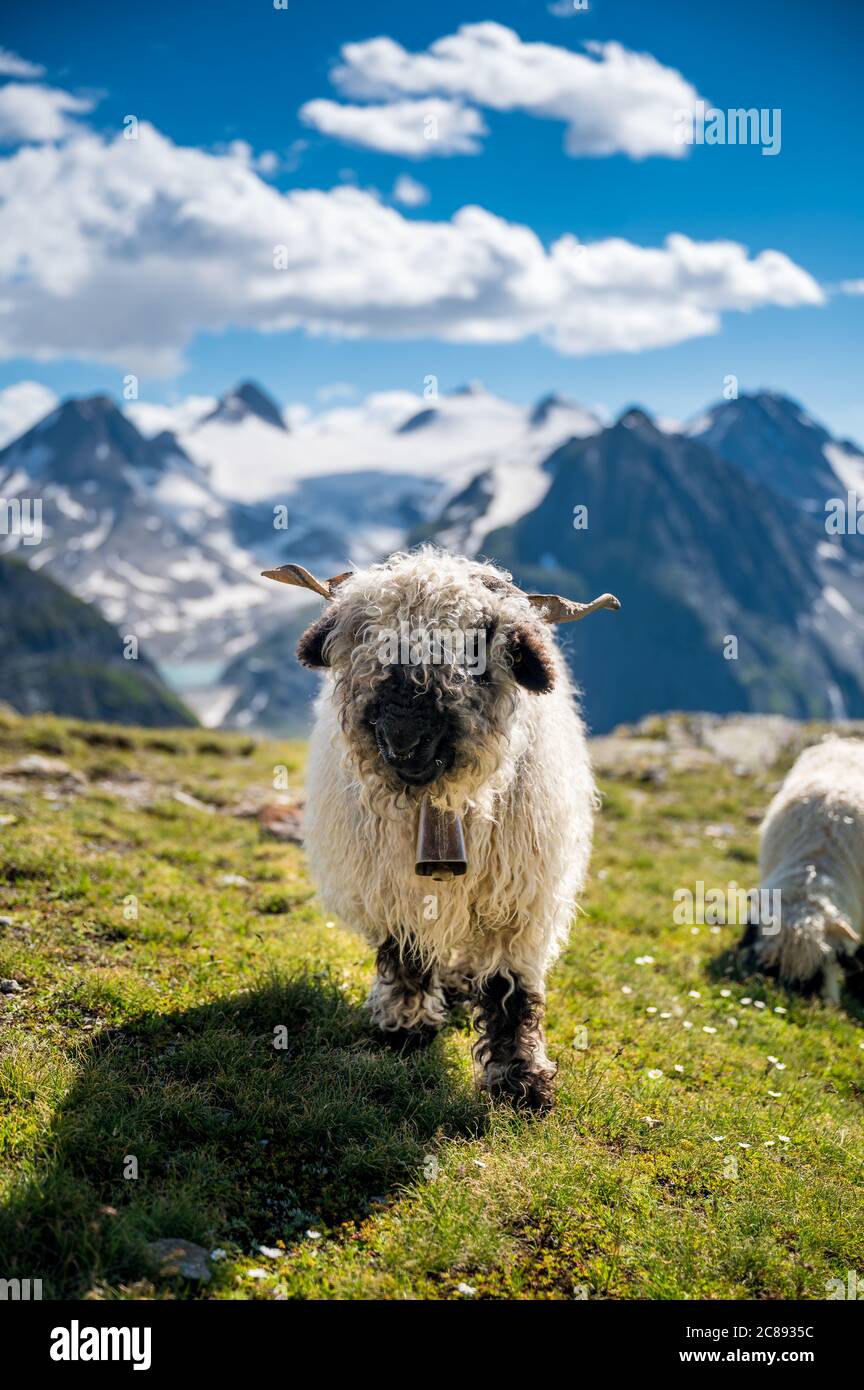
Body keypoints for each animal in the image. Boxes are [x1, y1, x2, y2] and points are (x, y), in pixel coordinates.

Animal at [263, 548, 620, 1111]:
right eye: (367, 637)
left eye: (474, 648)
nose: (403, 738)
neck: (438, 801)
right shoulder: (391, 886)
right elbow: (405, 953)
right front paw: (405, 1026)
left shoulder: (519, 897)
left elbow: (509, 985)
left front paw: (520, 1079)